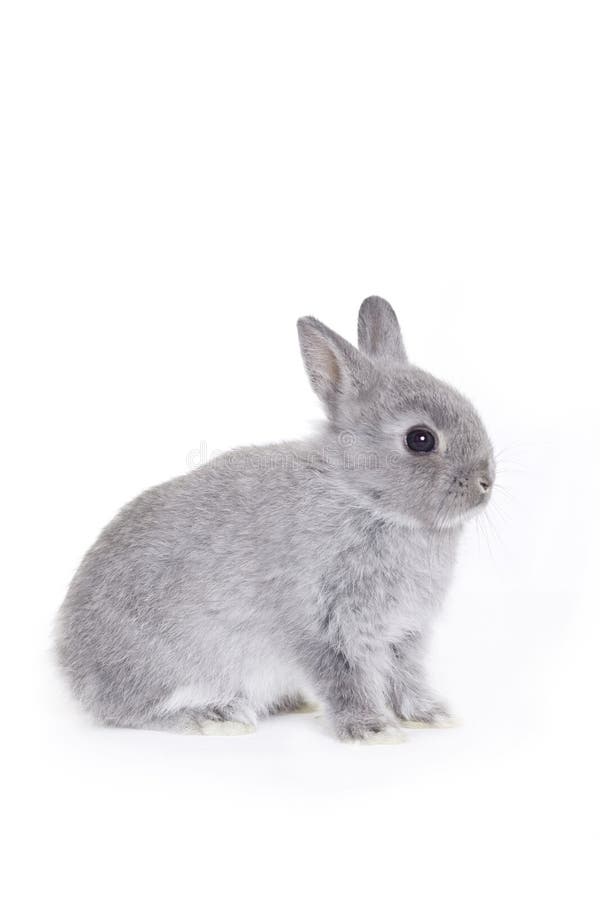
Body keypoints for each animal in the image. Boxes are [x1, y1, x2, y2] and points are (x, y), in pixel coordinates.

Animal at [55, 296, 494, 743]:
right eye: (420, 439)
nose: (485, 482)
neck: (363, 498)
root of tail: (71, 669)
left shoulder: (403, 633)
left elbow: (406, 677)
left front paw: (431, 716)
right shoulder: (319, 627)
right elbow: (344, 680)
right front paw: (373, 730)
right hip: (169, 666)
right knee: (133, 712)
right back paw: (216, 716)